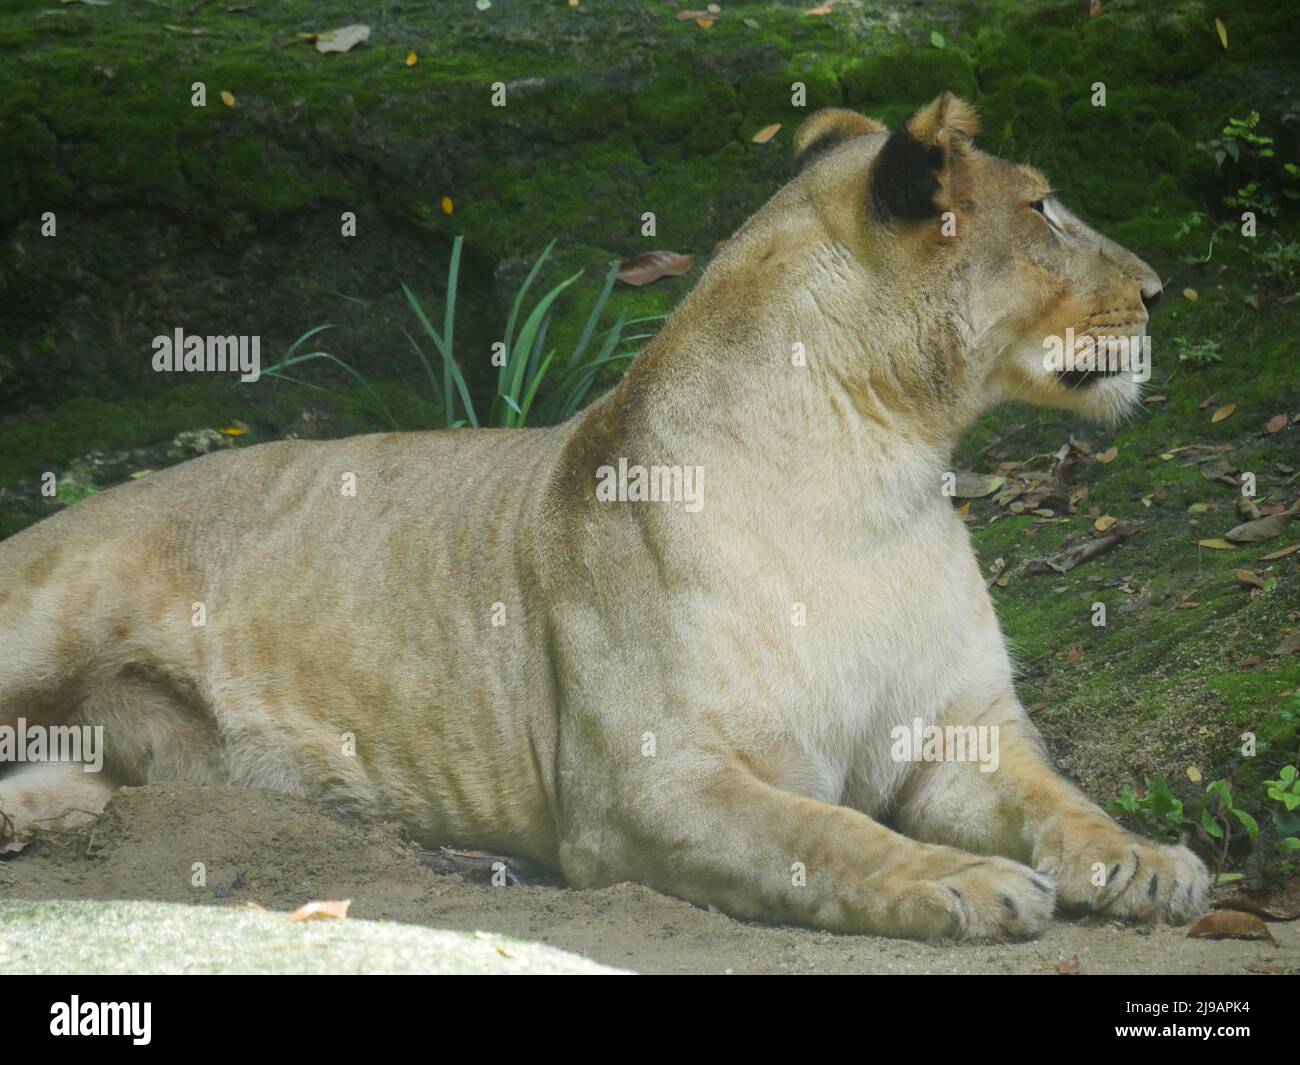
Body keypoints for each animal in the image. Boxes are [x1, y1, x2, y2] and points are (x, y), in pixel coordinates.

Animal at [0, 93, 1207, 939]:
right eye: (1043, 209)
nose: (1158, 292)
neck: (880, 471)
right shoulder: (643, 784)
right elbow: (825, 834)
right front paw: (962, 881)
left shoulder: (961, 729)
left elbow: (1060, 798)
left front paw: (1146, 861)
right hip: (39, 621)